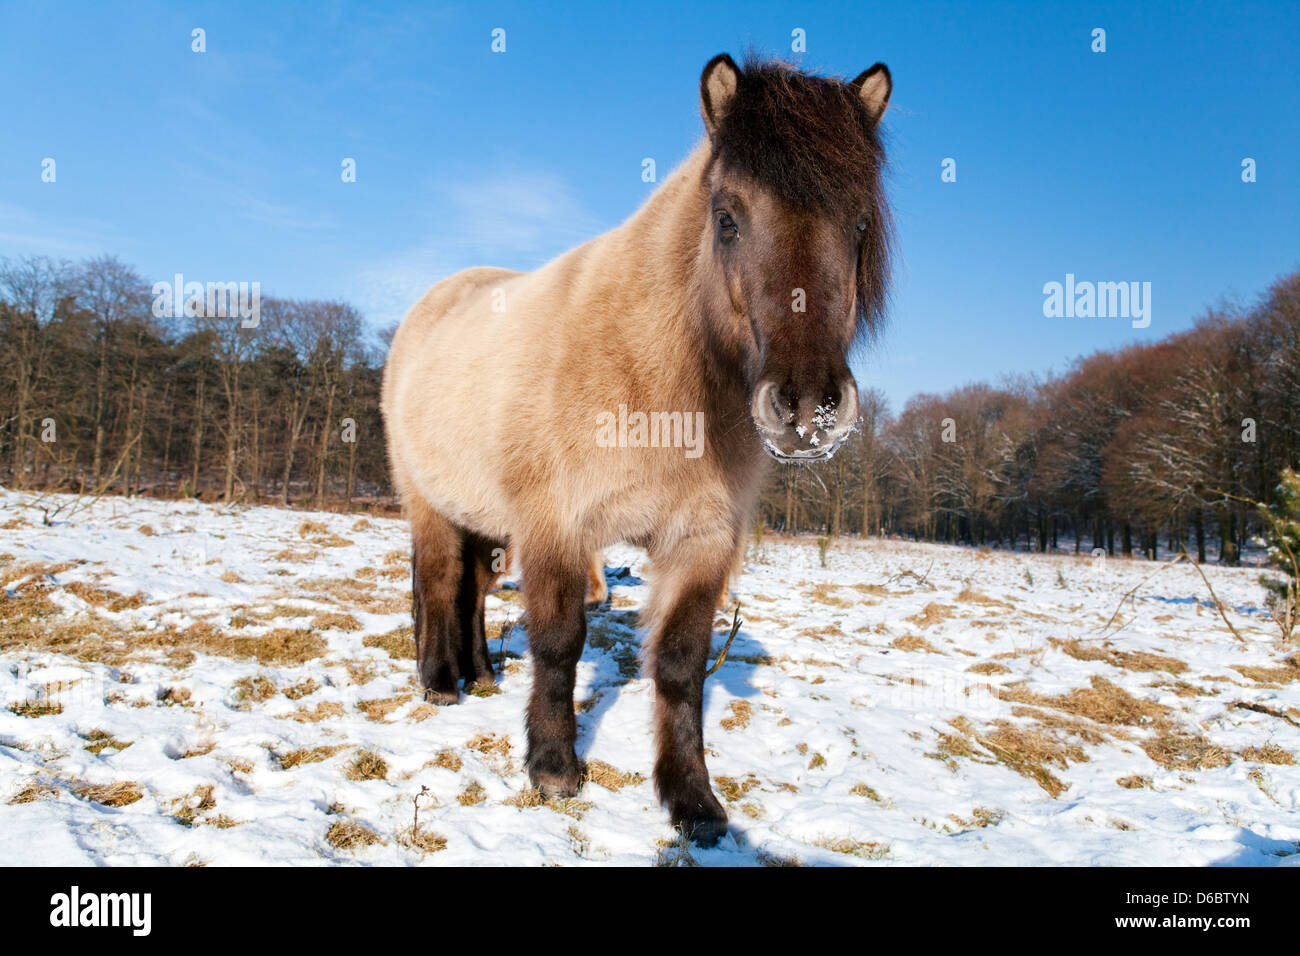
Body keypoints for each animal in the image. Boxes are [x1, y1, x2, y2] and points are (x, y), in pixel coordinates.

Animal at [381, 52, 893, 845]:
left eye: (860, 221)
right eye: (727, 218)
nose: (809, 408)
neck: (657, 374)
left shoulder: (702, 540)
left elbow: (681, 666)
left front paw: (694, 803)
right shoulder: (557, 528)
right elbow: (560, 641)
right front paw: (554, 767)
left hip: (482, 516)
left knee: (469, 589)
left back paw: (481, 674)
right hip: (431, 504)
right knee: (439, 581)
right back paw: (440, 682)